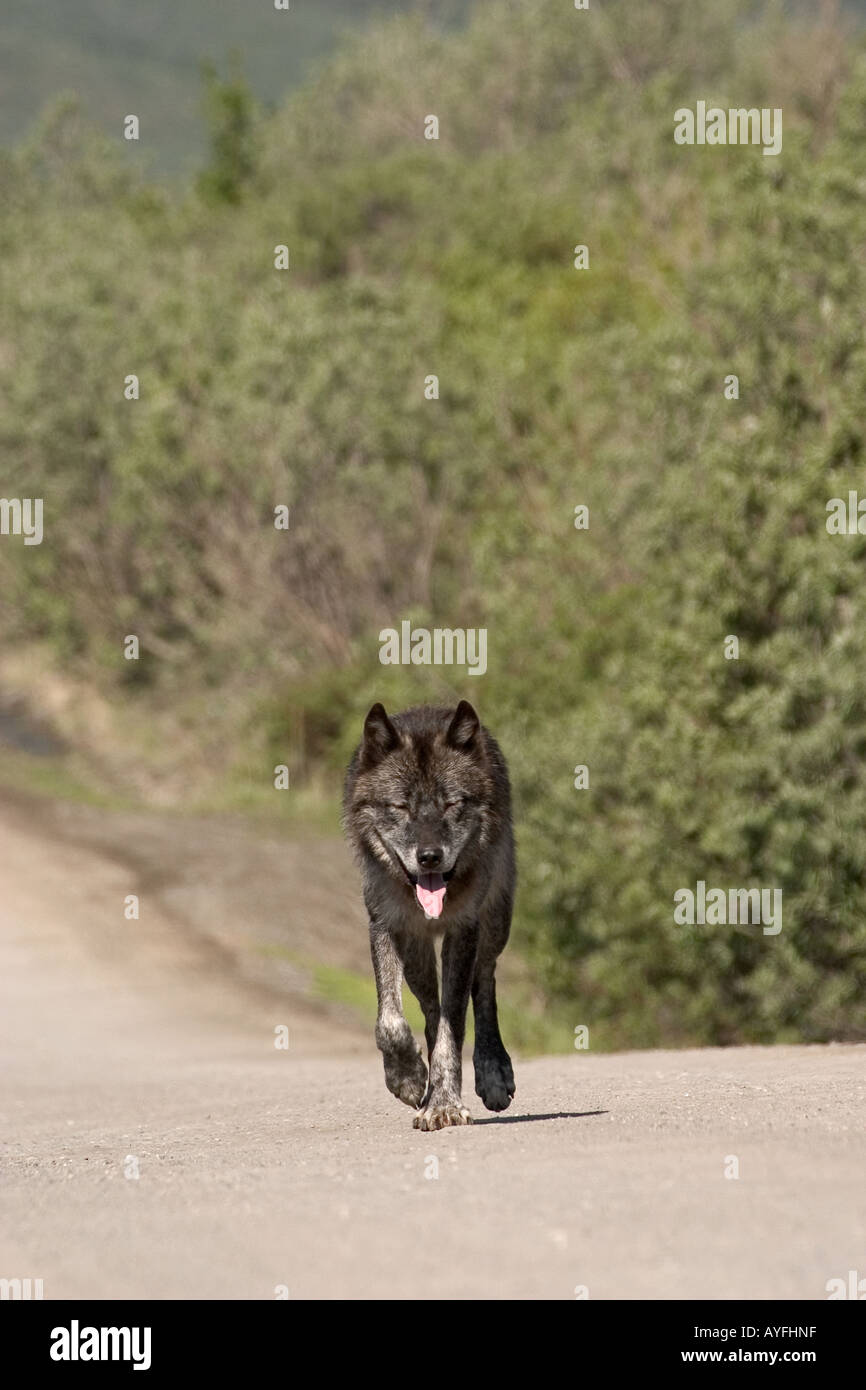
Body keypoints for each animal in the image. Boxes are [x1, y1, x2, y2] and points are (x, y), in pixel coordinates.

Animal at [343, 700, 516, 1130]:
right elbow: (390, 1022)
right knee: (430, 1007)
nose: (430, 857)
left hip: (495, 924)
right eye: (401, 807)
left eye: (452, 804)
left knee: (483, 982)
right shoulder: (385, 924)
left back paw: (494, 1073)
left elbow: (455, 1027)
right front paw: (407, 1079)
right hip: (417, 954)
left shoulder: (464, 929)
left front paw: (444, 1104)